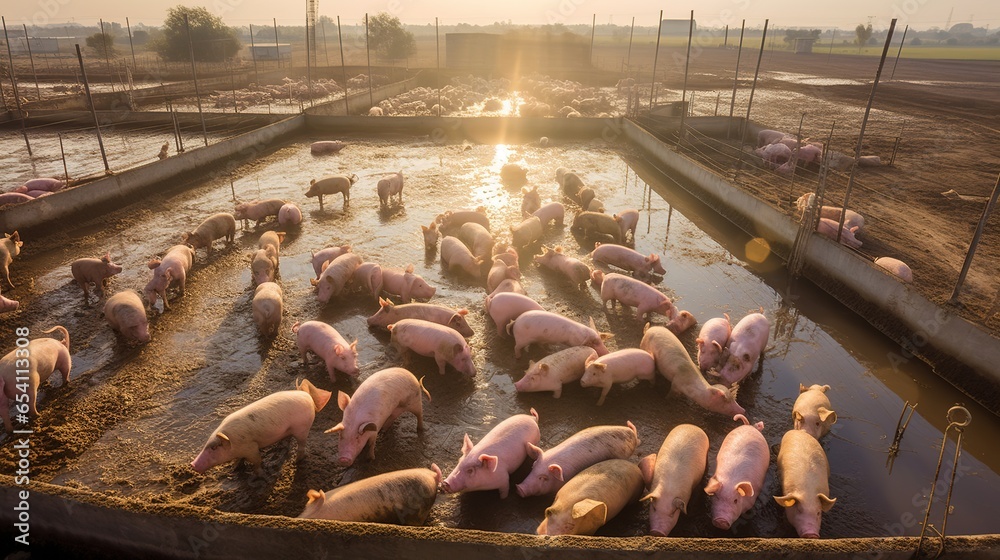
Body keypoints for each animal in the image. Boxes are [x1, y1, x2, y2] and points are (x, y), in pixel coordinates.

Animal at [191, 378, 332, 475]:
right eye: (206, 444)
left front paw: (260, 475)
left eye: (214, 447)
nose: (192, 464)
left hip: (302, 427)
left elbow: (257, 461)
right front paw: (234, 469)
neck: (235, 443)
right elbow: (239, 460)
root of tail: (307, 396)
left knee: (302, 445)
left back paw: (296, 461)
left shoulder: (251, 448)